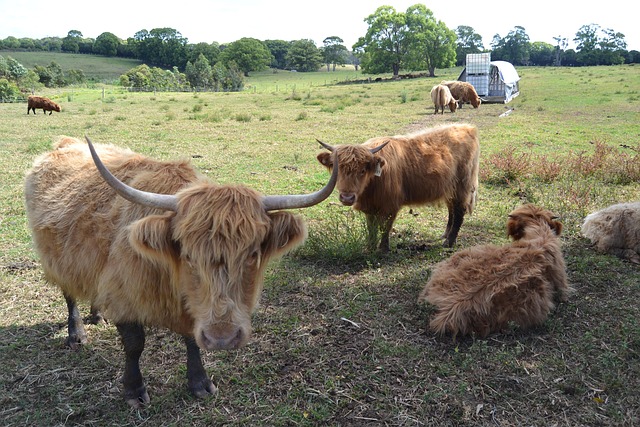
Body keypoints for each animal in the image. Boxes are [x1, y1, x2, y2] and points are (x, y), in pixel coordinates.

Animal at [24, 136, 338, 407]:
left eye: (252, 254)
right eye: (187, 255)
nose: (223, 338)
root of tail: (64, 143)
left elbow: (191, 339)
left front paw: (200, 383)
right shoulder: (124, 296)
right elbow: (134, 344)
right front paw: (134, 391)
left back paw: (97, 313)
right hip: (57, 258)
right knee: (68, 294)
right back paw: (76, 334)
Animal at [316, 123, 479, 251]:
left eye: (362, 170)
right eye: (337, 170)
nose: (347, 197)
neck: (372, 185)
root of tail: (468, 127)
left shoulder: (391, 205)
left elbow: (385, 227)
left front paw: (383, 249)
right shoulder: (370, 207)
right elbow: (371, 227)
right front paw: (370, 247)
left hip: (463, 186)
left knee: (459, 211)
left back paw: (448, 242)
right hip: (450, 188)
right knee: (451, 208)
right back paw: (445, 234)